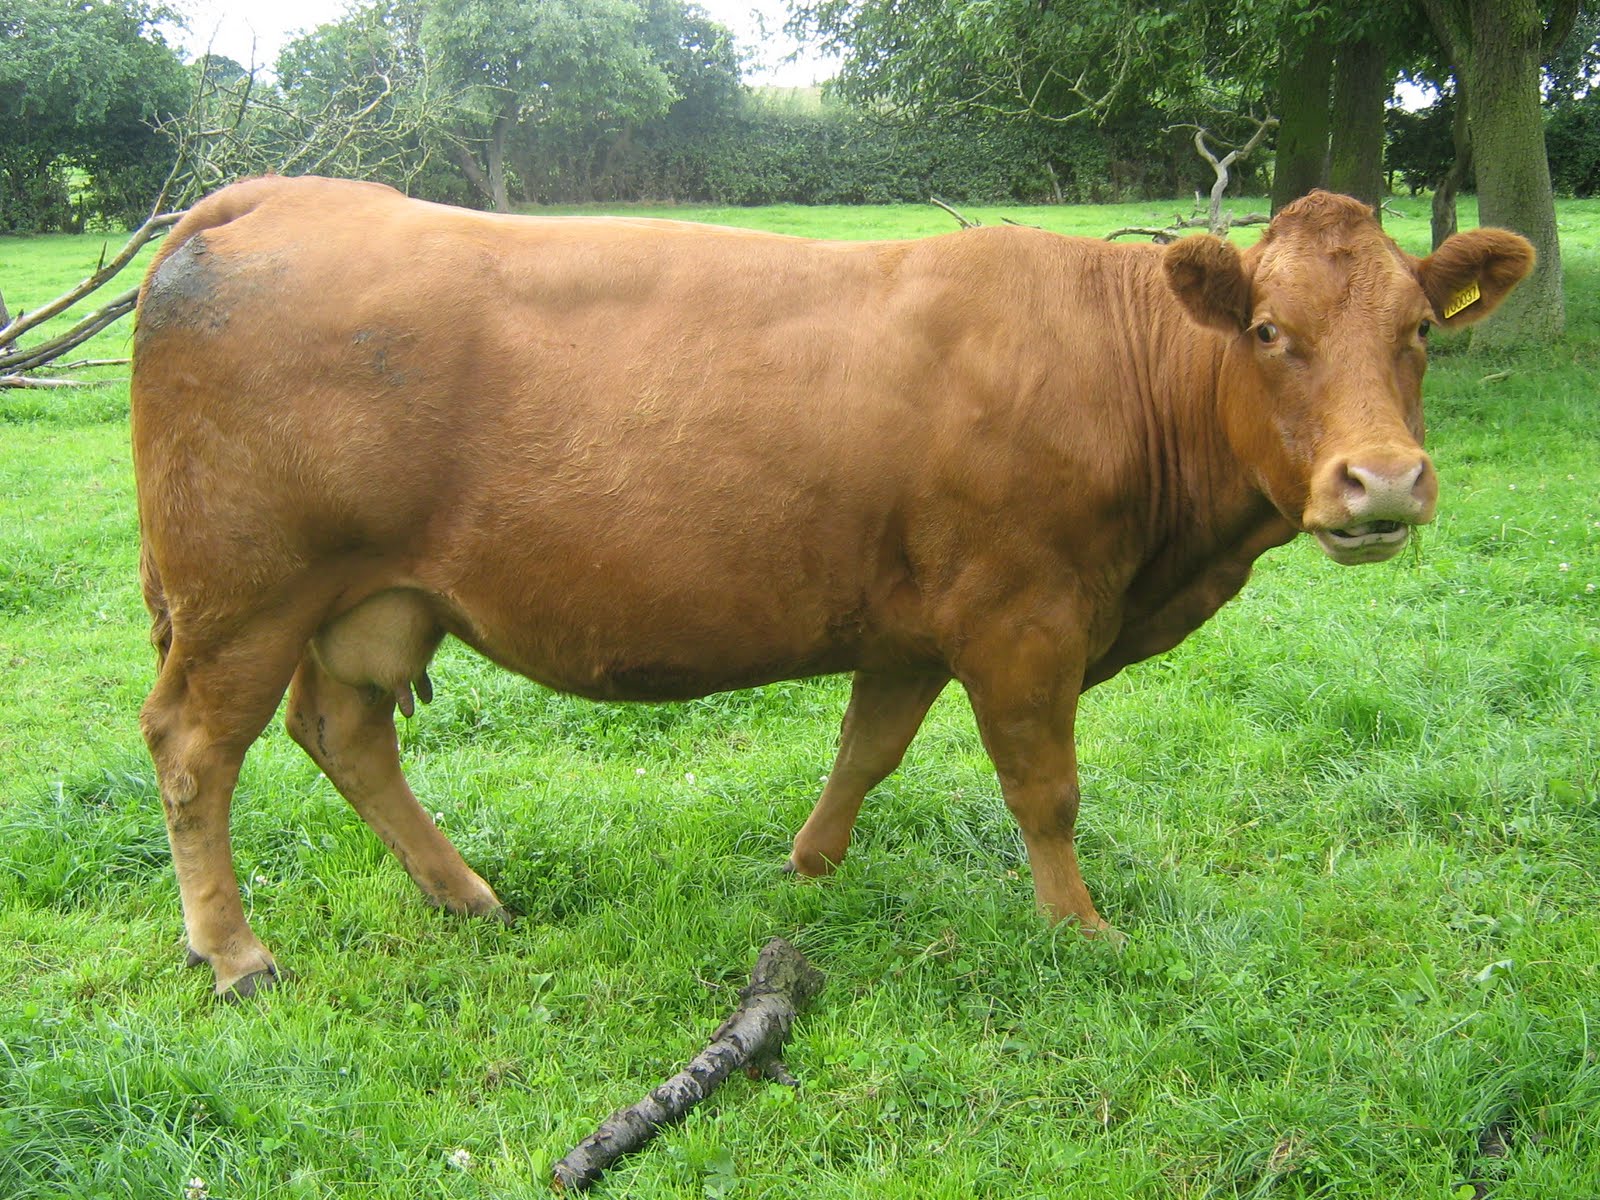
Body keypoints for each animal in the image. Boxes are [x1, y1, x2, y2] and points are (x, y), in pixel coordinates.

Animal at [130, 176, 1533, 997]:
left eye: (1417, 331)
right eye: (1268, 332)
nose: (1383, 482)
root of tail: (278, 197)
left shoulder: (910, 626)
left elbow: (868, 748)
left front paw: (809, 870)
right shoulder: (1023, 618)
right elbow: (1045, 791)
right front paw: (1078, 929)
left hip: (367, 603)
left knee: (345, 732)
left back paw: (464, 894)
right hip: (245, 598)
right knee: (196, 749)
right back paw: (236, 952)